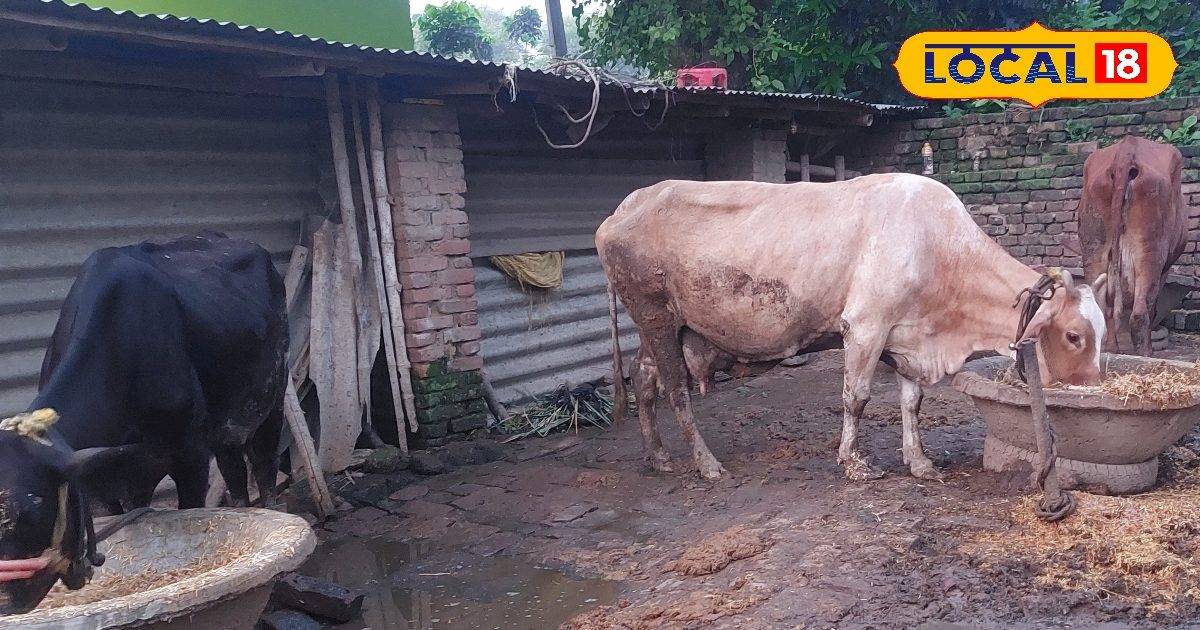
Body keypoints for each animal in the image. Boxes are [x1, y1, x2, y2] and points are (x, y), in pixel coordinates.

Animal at [0, 230, 287, 614]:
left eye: (29, 511)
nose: (5, 602)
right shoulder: (101, 485)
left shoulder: (190, 458)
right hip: (225, 428)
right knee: (234, 472)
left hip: (274, 399)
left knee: (265, 468)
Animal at [597, 174, 1106, 482]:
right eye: (1074, 336)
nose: (1094, 389)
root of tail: (623, 208)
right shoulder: (865, 326)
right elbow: (856, 398)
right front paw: (854, 463)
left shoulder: (905, 334)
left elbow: (912, 402)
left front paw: (919, 462)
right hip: (657, 317)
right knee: (675, 392)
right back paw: (706, 464)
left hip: (657, 328)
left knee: (643, 379)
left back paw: (658, 455)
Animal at [1078, 135, 1186, 356]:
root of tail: (1126, 149)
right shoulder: (1164, 268)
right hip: (1151, 250)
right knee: (1140, 311)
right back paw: (1146, 352)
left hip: (1094, 247)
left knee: (1102, 307)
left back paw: (1110, 348)